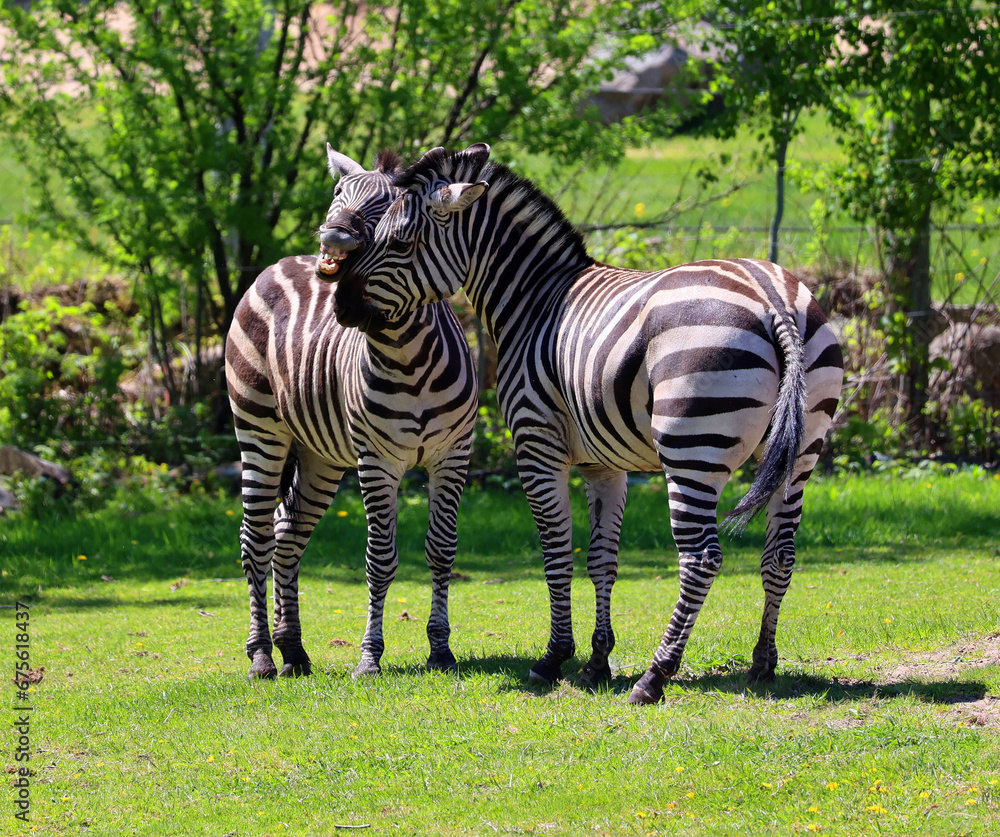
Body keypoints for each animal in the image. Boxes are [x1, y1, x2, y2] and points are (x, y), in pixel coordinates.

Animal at [225, 146, 478, 680]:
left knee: (287, 534)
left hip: (320, 455)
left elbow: (442, 549)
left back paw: (293, 650)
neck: (407, 353)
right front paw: (370, 657)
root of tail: (277, 264)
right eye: (339, 193)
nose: (333, 234)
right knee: (255, 537)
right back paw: (261, 655)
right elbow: (379, 558)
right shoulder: (377, 460)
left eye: (385, 206)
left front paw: (441, 649)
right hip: (258, 429)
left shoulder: (453, 454)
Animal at [333, 143, 844, 704]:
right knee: (781, 554)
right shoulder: (605, 463)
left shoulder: (536, 444)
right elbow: (602, 559)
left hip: (693, 449)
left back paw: (655, 676)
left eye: (401, 242)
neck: (533, 300)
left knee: (701, 558)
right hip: (801, 450)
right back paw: (762, 663)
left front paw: (554, 658)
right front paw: (597, 661)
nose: (339, 304)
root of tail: (771, 293)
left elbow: (557, 551)